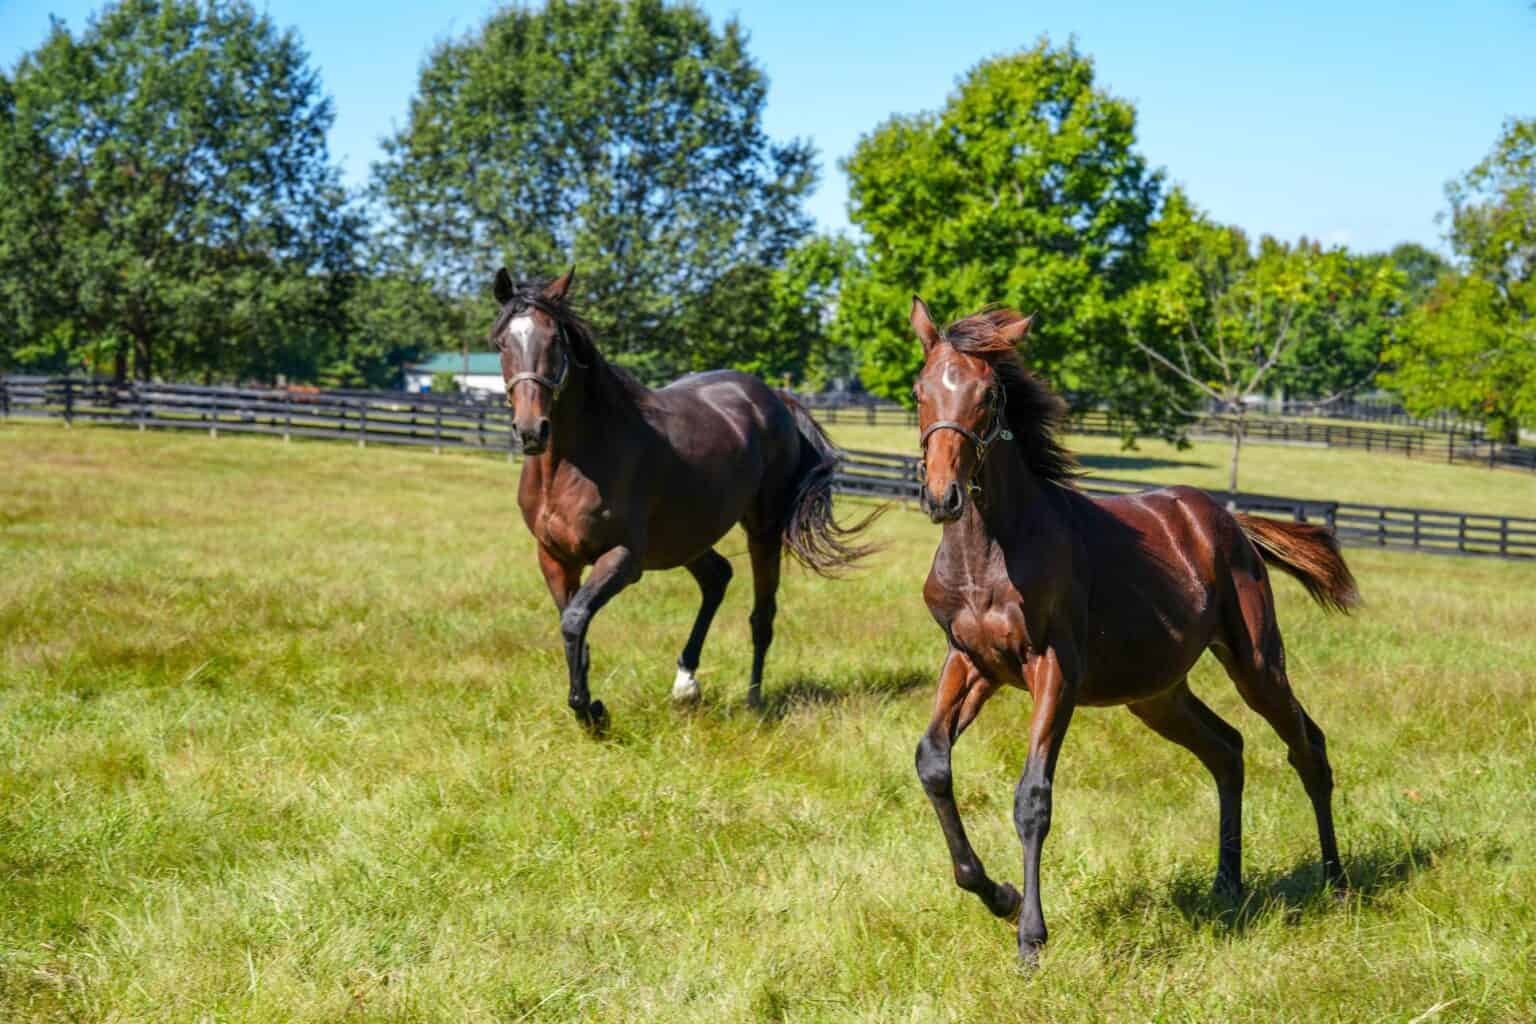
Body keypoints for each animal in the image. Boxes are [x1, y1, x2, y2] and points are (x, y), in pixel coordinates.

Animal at [492, 267, 877, 730]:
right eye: (501, 342)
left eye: (555, 339)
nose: (532, 430)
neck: (572, 464)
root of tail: (776, 399)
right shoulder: (553, 557)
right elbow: (573, 628)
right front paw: (590, 710)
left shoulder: (623, 559)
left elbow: (574, 620)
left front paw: (592, 713)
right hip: (686, 537)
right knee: (717, 577)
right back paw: (686, 684)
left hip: (760, 530)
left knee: (762, 615)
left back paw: (753, 702)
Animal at [906, 297, 1359, 963]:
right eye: (919, 391)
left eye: (988, 395)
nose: (943, 497)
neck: (990, 552)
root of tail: (1230, 521)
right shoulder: (971, 661)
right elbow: (933, 763)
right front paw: (998, 895)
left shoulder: (1054, 669)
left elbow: (1032, 797)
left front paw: (1030, 937)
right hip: (1156, 694)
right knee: (1227, 749)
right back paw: (1227, 884)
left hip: (1255, 663)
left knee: (1307, 745)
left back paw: (1336, 880)